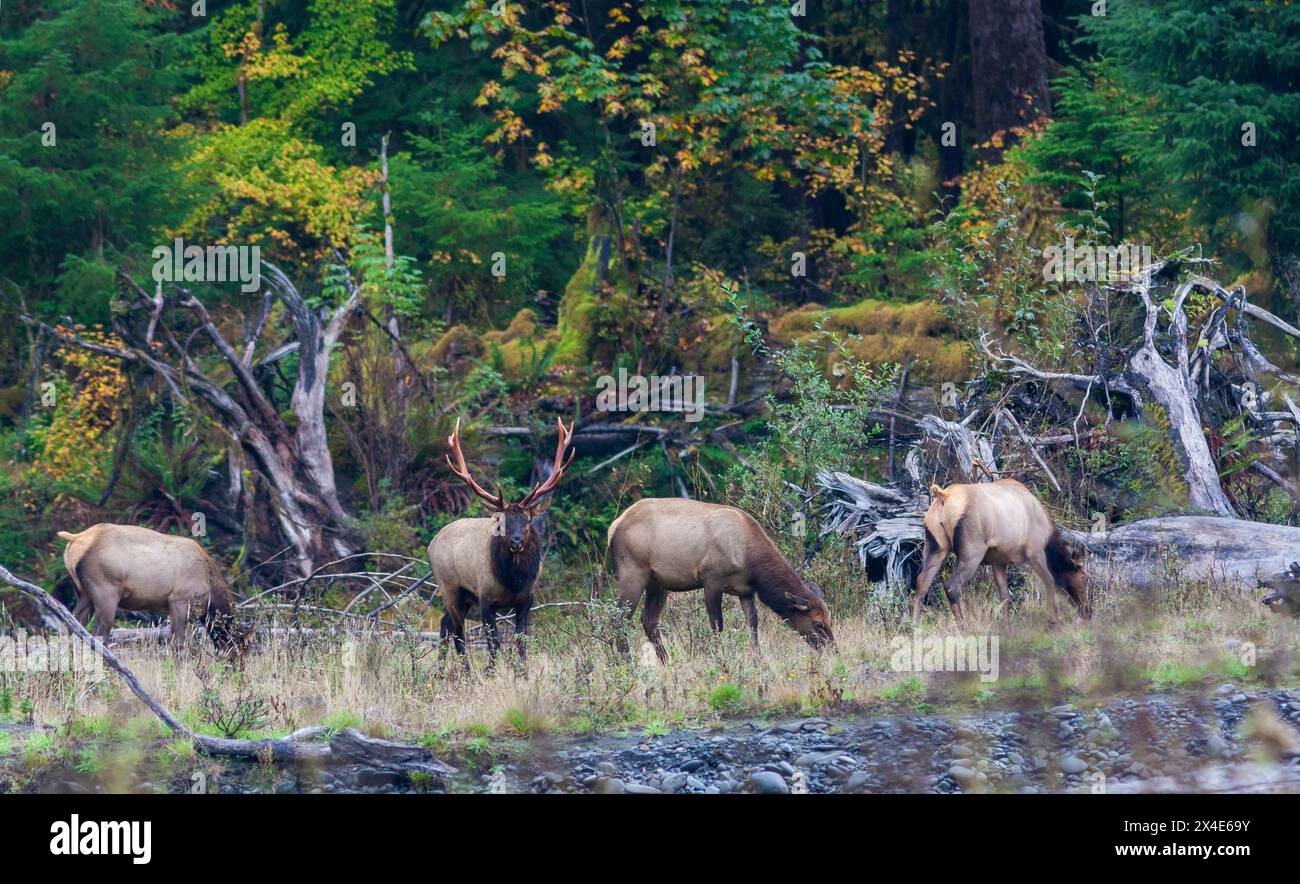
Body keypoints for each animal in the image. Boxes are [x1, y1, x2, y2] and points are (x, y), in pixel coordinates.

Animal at [58, 524, 242, 651]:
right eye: (241, 647)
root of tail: (74, 538)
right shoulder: (180, 600)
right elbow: (178, 644)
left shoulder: (172, 606)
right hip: (106, 592)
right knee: (99, 635)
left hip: (82, 593)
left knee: (73, 629)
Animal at [428, 417, 574, 670]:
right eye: (500, 521)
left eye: (527, 520)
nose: (516, 542)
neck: (512, 582)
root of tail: (431, 543)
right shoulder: (485, 599)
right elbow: (494, 644)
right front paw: (491, 671)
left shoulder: (526, 598)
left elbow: (521, 641)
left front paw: (523, 673)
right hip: (449, 587)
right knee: (457, 631)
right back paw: (466, 672)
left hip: (463, 597)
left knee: (445, 624)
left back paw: (439, 670)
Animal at [606, 498, 834, 664]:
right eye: (818, 623)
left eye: (829, 618)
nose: (833, 650)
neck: (752, 562)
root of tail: (613, 527)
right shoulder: (711, 580)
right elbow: (717, 624)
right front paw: (720, 658)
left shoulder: (746, 590)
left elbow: (753, 622)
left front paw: (759, 660)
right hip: (633, 572)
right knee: (619, 619)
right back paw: (626, 663)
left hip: (658, 582)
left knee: (649, 620)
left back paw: (666, 663)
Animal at [912, 479, 1089, 622]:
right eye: (1084, 578)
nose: (1088, 611)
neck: (1048, 534)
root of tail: (942, 495)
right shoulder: (1035, 551)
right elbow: (1050, 580)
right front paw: (1053, 621)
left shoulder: (998, 561)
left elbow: (1005, 596)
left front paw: (1007, 629)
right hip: (971, 551)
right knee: (952, 586)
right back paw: (964, 627)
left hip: (935, 547)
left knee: (921, 582)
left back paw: (915, 625)